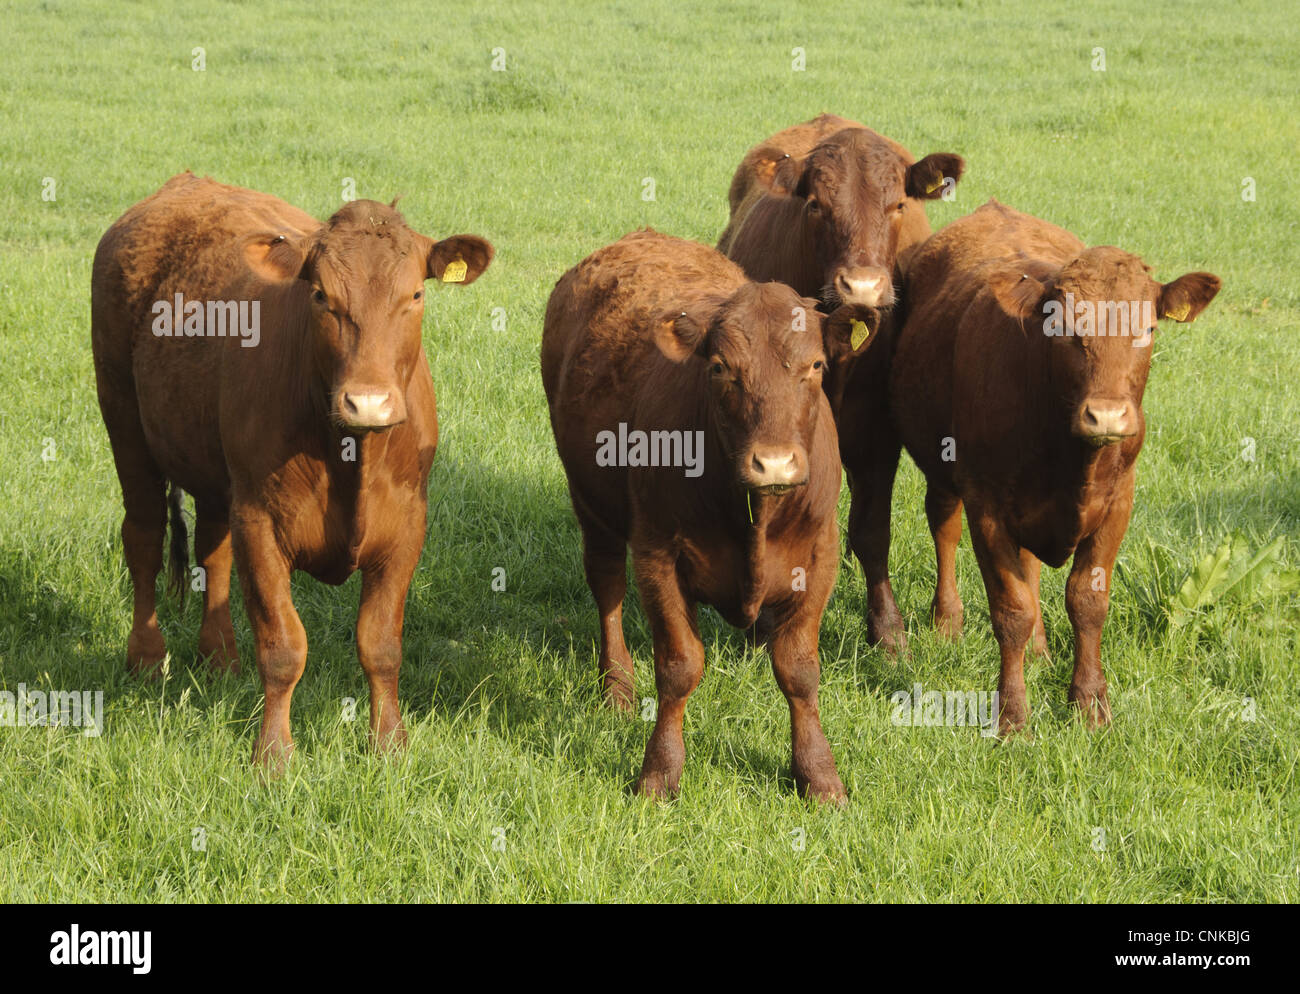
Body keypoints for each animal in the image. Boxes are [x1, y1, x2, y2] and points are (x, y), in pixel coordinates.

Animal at [91, 172, 493, 770]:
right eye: (321, 296)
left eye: (416, 295)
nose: (367, 402)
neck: (352, 456)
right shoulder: (260, 520)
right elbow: (283, 646)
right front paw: (274, 756)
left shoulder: (408, 524)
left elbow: (381, 644)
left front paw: (389, 745)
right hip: (124, 422)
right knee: (143, 536)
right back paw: (145, 658)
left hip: (216, 471)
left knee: (212, 547)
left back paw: (219, 657)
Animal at [540, 229, 876, 802]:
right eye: (720, 368)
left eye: (815, 366)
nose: (774, 462)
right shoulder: (657, 554)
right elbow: (679, 668)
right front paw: (659, 773)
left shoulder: (821, 555)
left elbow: (799, 671)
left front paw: (818, 776)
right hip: (592, 505)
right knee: (607, 589)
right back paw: (617, 689)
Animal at [717, 115, 964, 648]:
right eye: (816, 205)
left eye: (898, 205)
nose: (862, 287)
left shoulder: (877, 435)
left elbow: (872, 531)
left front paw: (887, 631)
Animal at [863, 199, 1220, 733]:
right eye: (1065, 328)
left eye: (1148, 328)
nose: (1106, 415)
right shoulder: (987, 506)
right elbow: (1011, 610)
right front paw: (1012, 717)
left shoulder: (1118, 503)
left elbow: (1086, 602)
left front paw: (1090, 705)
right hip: (941, 463)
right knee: (944, 527)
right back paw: (948, 622)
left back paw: (1039, 653)